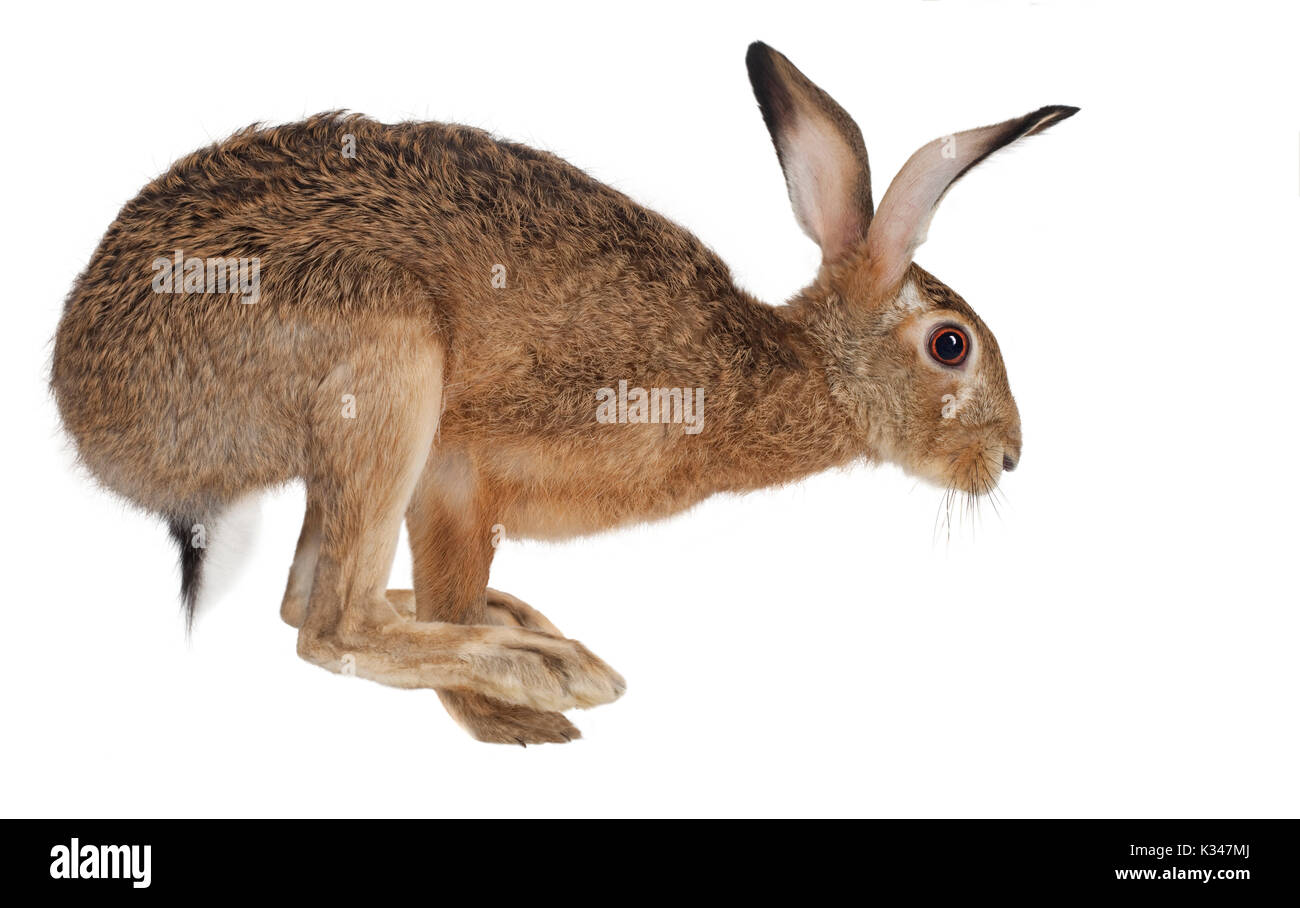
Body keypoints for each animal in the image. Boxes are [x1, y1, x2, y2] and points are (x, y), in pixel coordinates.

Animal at [50, 41, 1077, 744]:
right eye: (951, 346)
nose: (1011, 457)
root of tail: (87, 407)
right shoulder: (456, 475)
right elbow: (432, 592)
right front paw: (514, 716)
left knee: (315, 600)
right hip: (389, 367)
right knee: (331, 623)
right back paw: (543, 663)